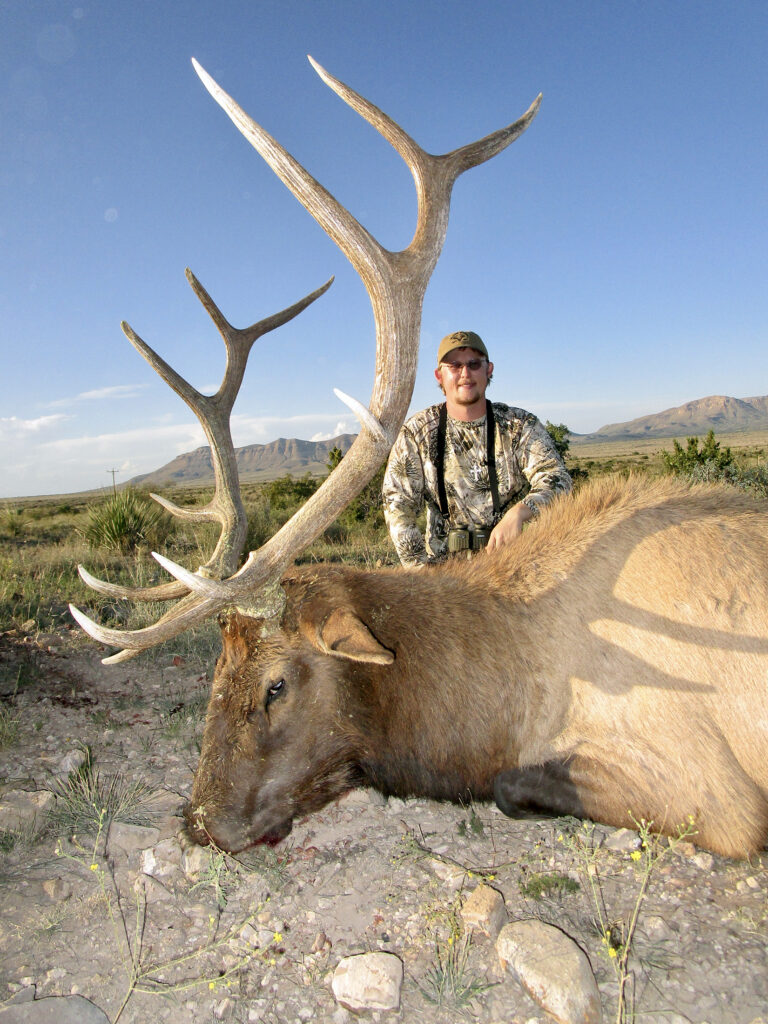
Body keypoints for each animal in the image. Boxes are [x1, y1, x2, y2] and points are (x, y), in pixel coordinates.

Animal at [69, 59, 768, 860]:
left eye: (277, 684)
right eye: (216, 671)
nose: (201, 821)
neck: (502, 691)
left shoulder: (713, 793)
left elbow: (514, 784)